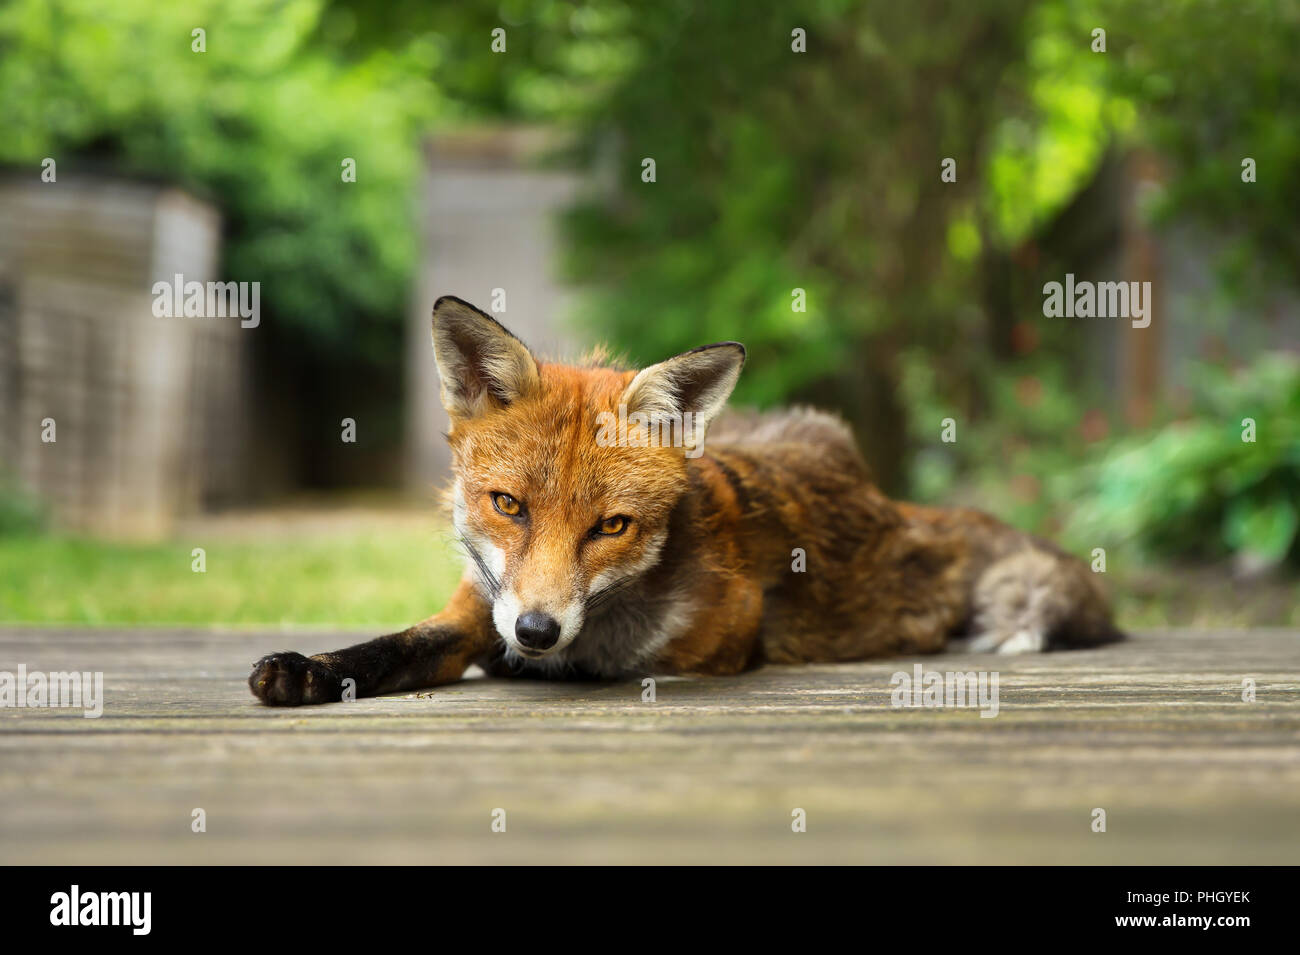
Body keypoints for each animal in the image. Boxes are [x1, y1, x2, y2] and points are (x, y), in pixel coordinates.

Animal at [249, 295, 1122, 706]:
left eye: (611, 526)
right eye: (508, 505)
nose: (536, 630)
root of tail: (896, 502)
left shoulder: (718, 639)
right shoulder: (477, 605)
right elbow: (394, 646)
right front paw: (312, 669)